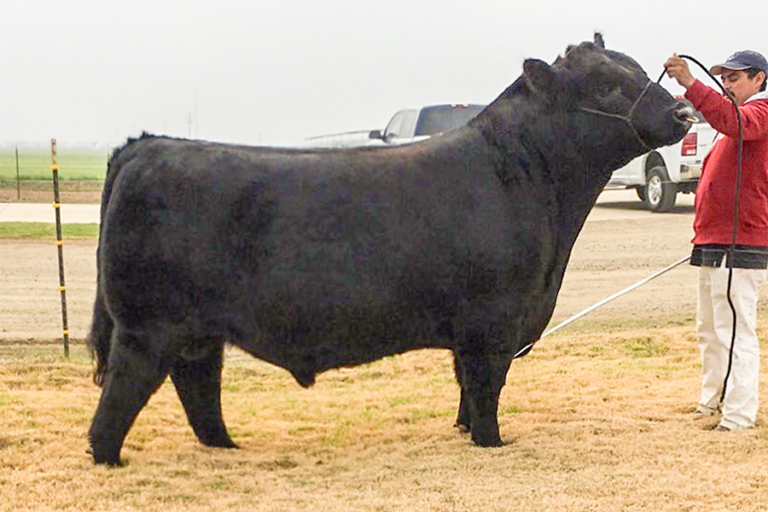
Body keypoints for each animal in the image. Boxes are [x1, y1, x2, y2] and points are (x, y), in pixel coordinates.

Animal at [87, 35, 692, 465]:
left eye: (640, 70)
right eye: (606, 86)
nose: (683, 114)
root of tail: (148, 147)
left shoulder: (474, 328)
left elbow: (465, 387)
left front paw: (464, 431)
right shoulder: (494, 323)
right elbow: (485, 386)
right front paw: (490, 442)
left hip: (197, 331)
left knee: (198, 386)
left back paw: (225, 447)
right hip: (146, 327)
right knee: (120, 400)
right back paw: (109, 459)